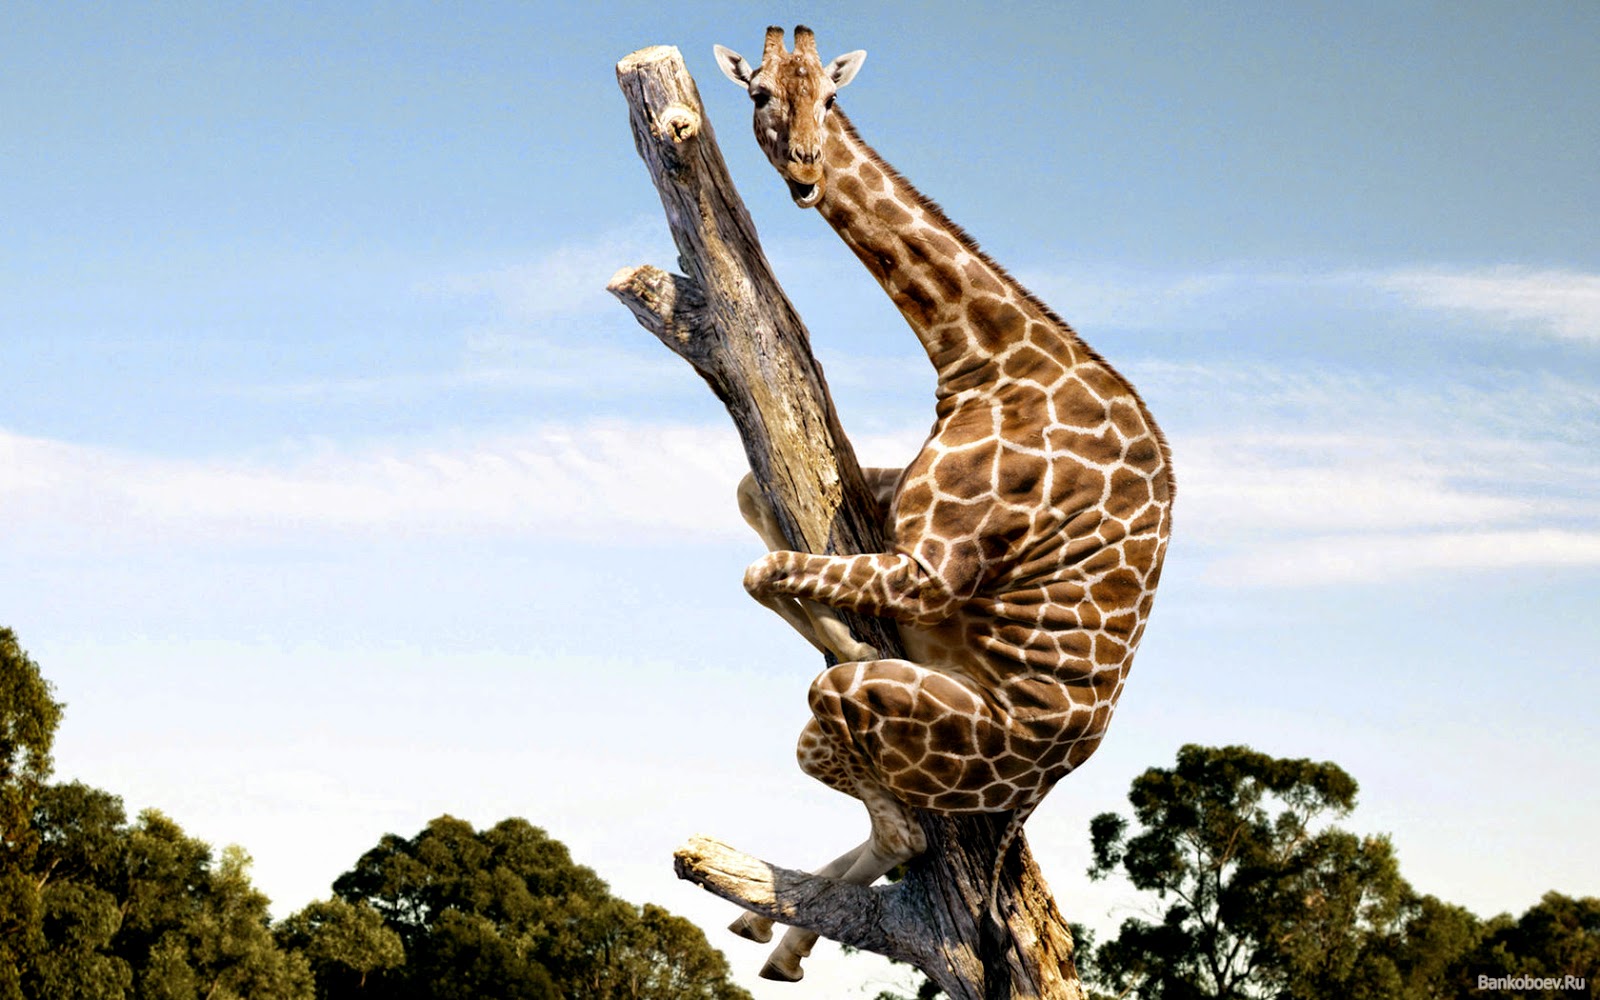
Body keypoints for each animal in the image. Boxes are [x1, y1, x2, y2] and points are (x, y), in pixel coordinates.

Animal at [713, 26, 1175, 982]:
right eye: (760, 93)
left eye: (831, 99)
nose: (806, 171)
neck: (985, 357)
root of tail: (1043, 781)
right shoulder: (890, 516)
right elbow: (751, 506)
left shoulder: (930, 571)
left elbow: (762, 569)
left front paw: (846, 631)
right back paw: (771, 936)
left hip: (883, 717)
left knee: (898, 824)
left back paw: (780, 933)